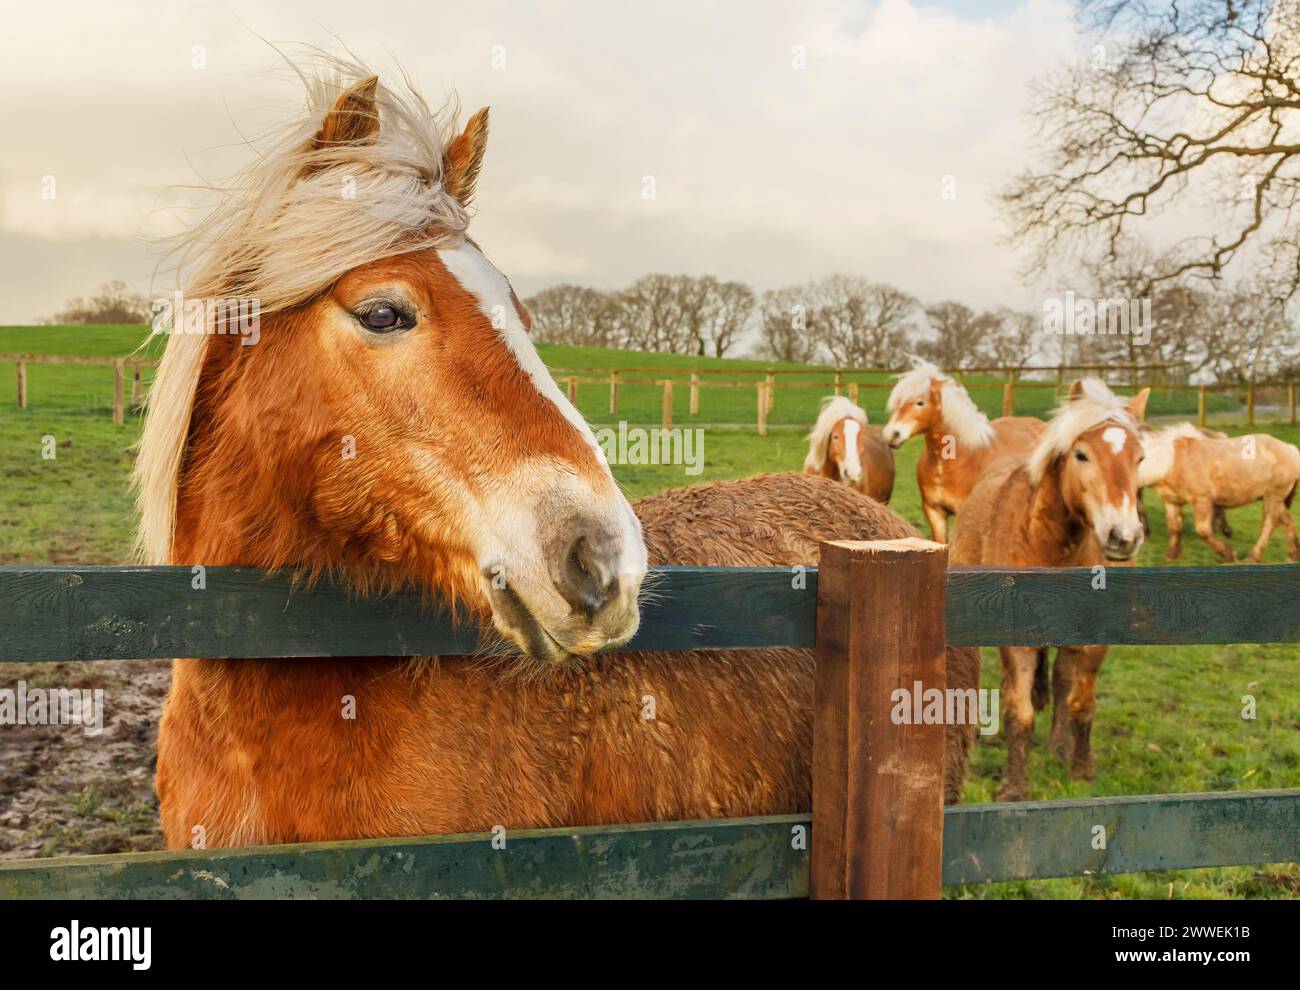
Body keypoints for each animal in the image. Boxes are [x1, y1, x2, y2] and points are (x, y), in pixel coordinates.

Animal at [951, 380, 1149, 802]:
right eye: (1082, 454)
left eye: (1139, 458)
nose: (1123, 536)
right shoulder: (1016, 642)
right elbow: (1019, 712)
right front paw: (1013, 786)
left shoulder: (1093, 641)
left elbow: (1080, 702)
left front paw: (1081, 767)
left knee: (1060, 683)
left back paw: (1059, 745)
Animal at [1140, 424, 1300, 563]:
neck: (1173, 460)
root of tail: (1291, 449)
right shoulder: (1171, 501)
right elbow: (1174, 528)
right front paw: (1172, 555)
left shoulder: (1202, 500)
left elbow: (1203, 531)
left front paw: (1228, 555)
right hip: (1275, 498)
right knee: (1287, 520)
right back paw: (1293, 555)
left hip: (1273, 496)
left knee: (1270, 524)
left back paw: (1253, 557)